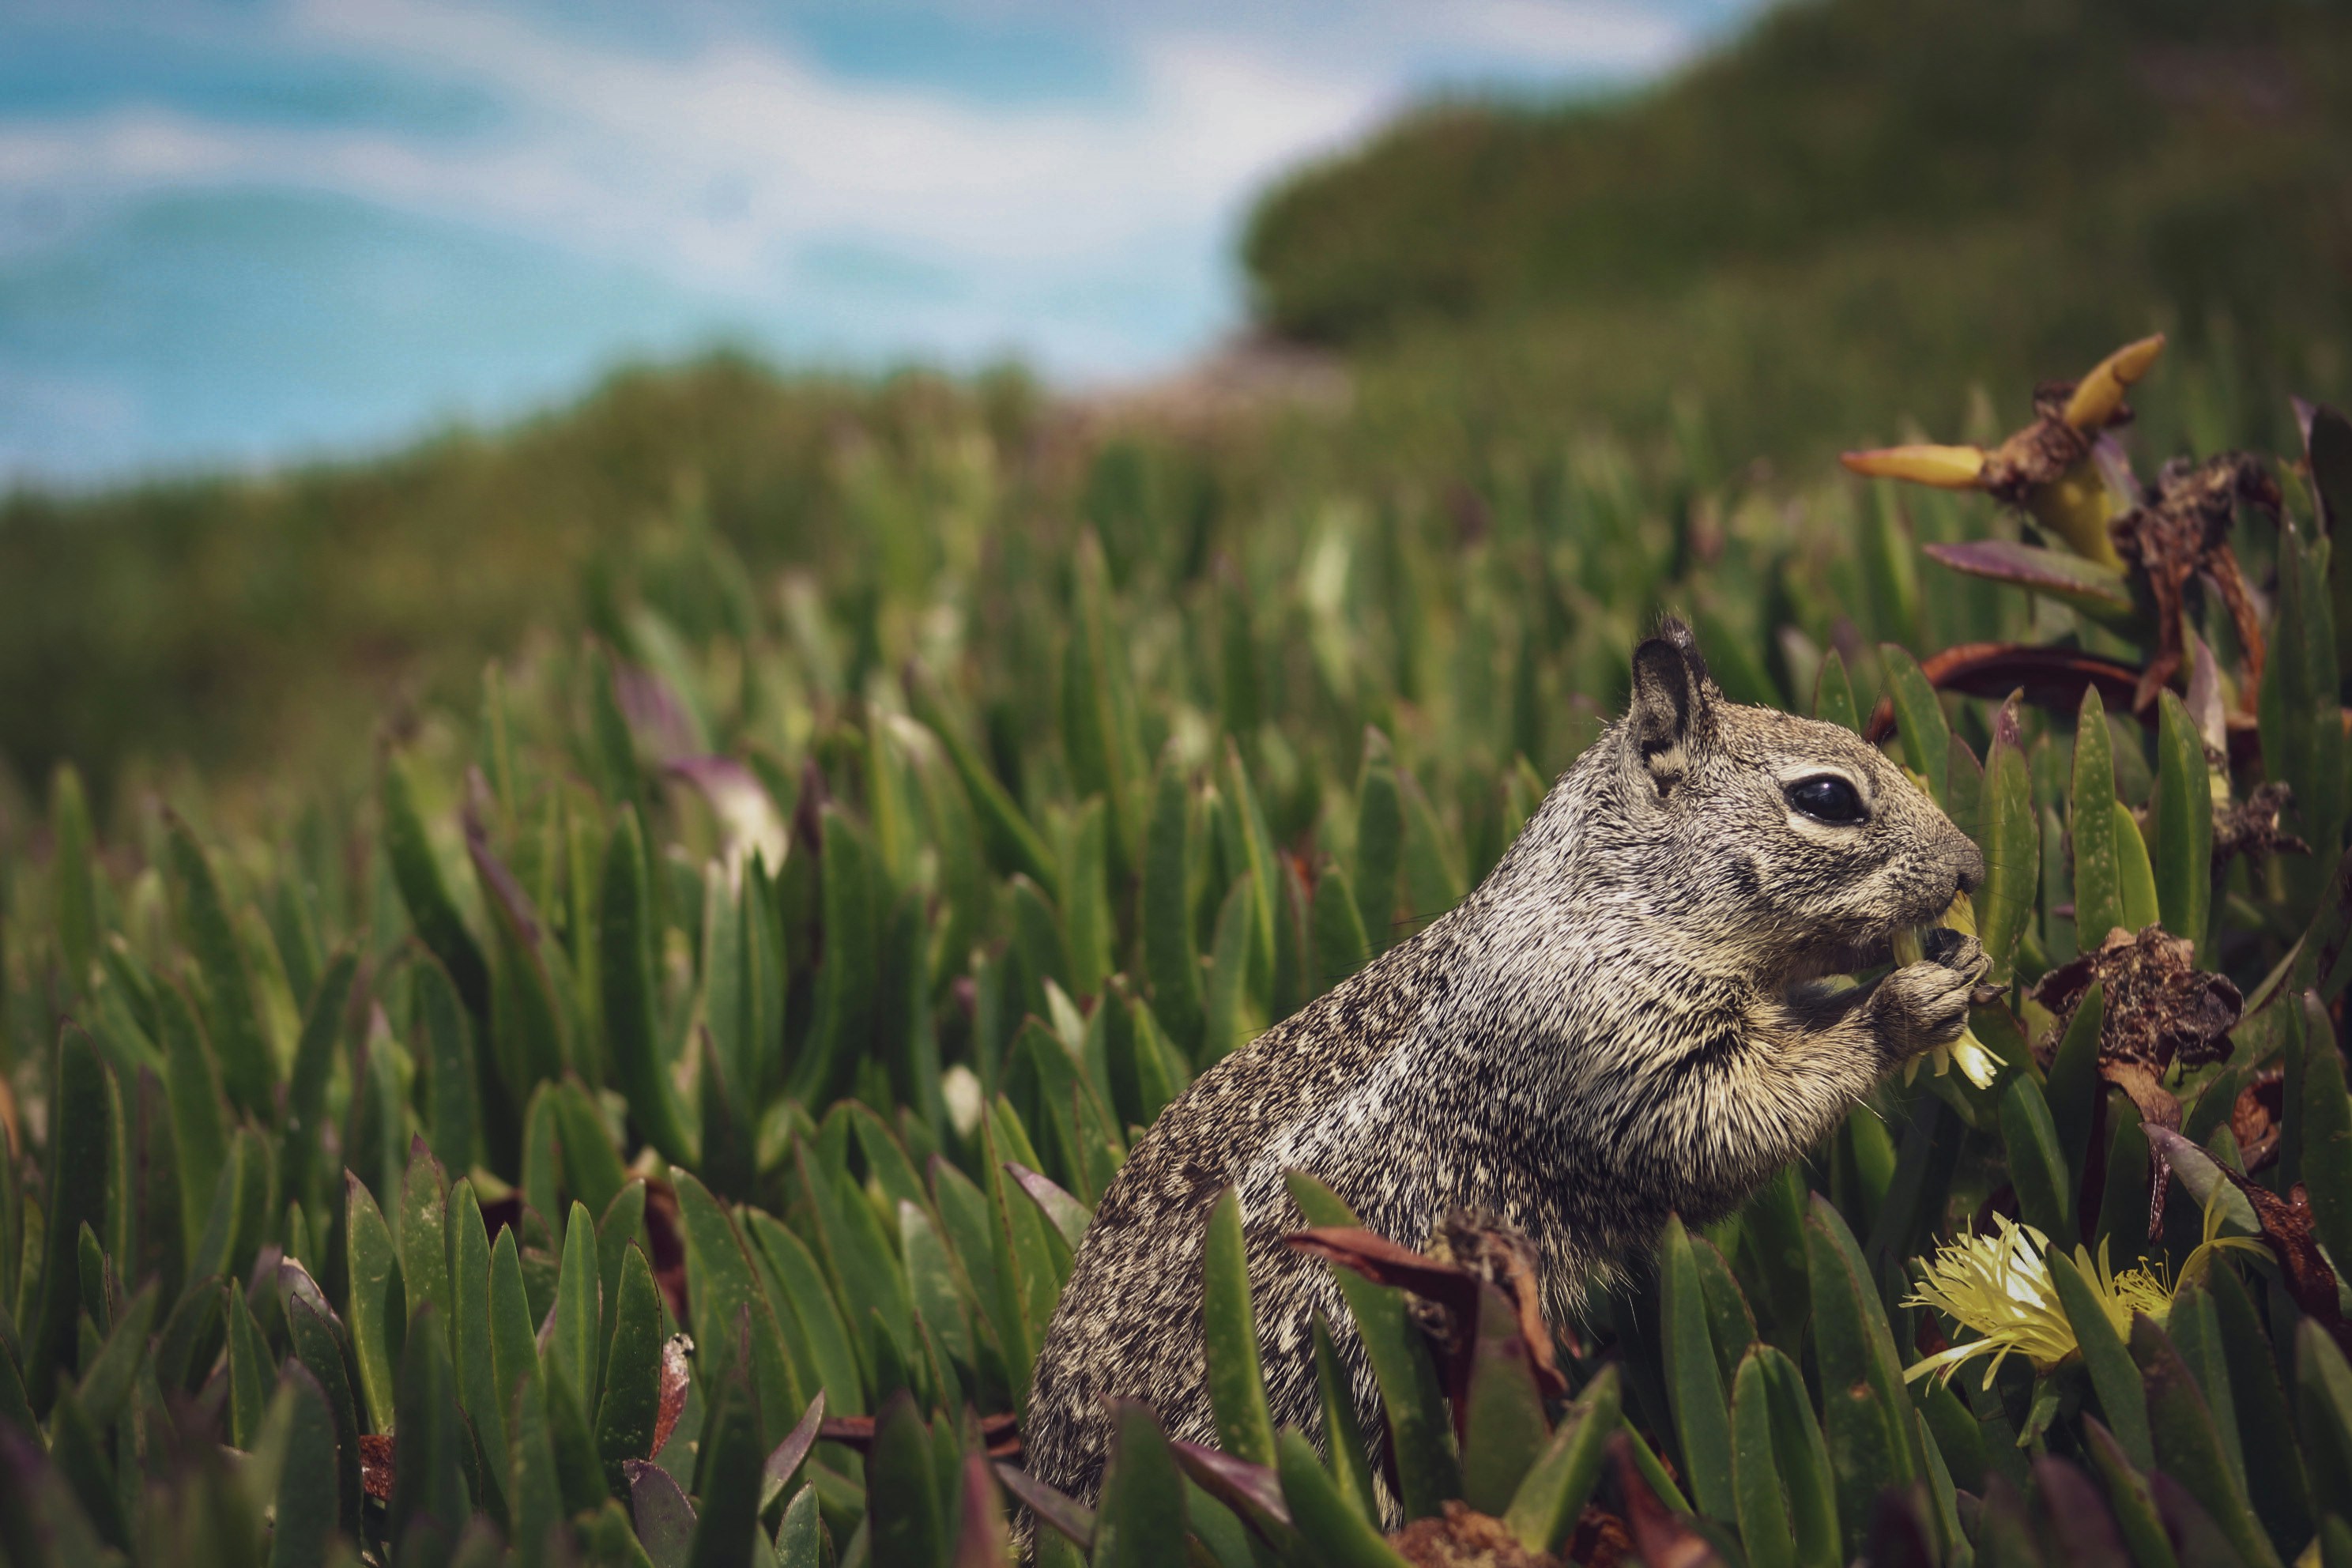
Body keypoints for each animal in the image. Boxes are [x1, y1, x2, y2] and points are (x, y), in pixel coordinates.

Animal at [1020, 618, 1988, 1518]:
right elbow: (1730, 1127)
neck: (1617, 901)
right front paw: (1903, 1005)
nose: (1973, 865)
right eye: (1826, 797)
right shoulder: (1622, 1052)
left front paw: (1958, 962)